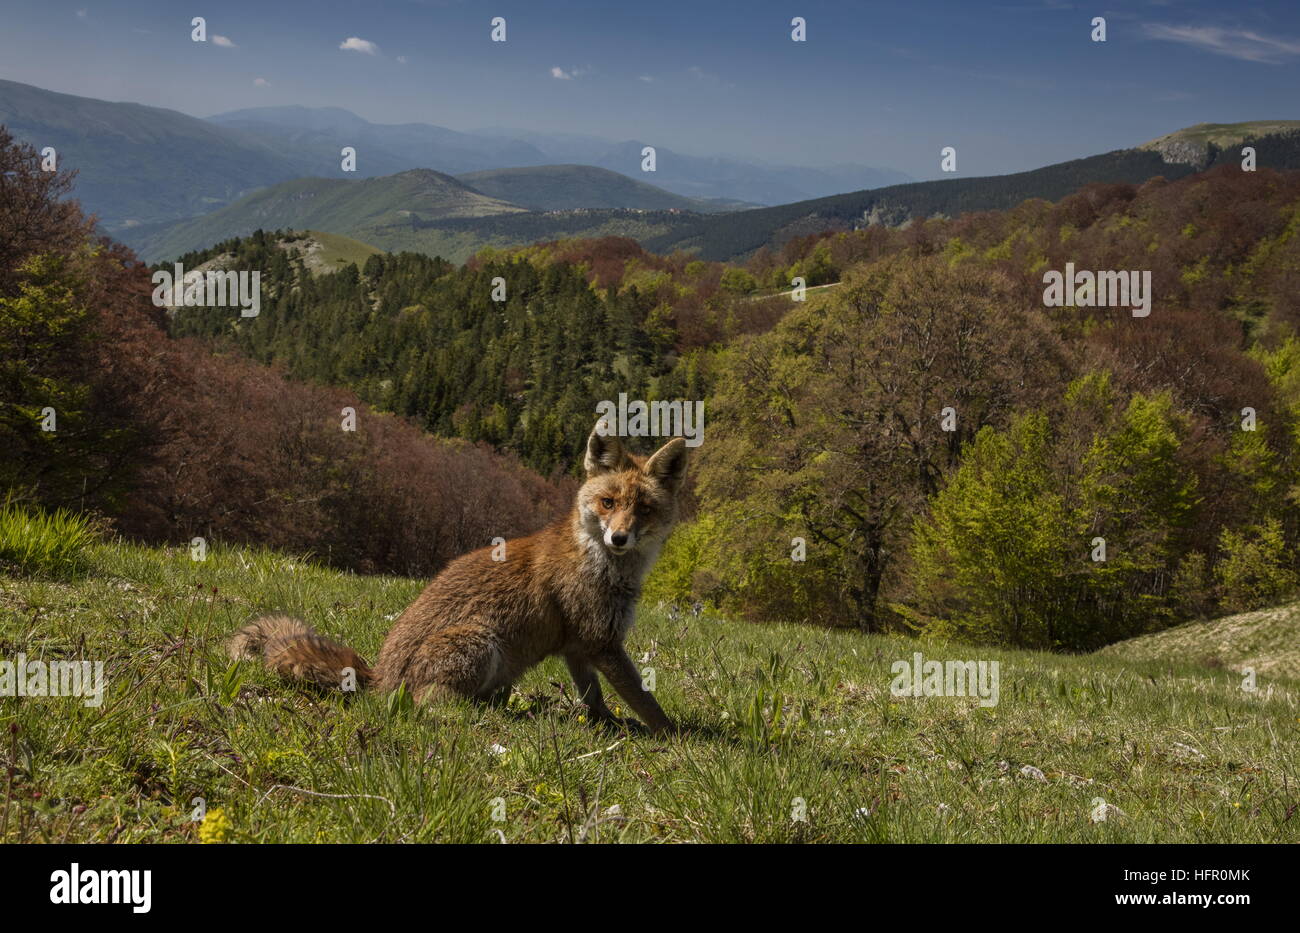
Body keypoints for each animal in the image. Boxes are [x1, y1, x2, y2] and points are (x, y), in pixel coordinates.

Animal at [230, 428, 691, 743]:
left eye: (644, 510)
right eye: (608, 503)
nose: (619, 538)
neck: (602, 563)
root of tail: (379, 677)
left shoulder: (579, 647)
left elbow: (593, 699)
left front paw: (608, 726)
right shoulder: (602, 643)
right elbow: (644, 700)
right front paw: (675, 737)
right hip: (480, 641)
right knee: (422, 705)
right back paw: (492, 715)